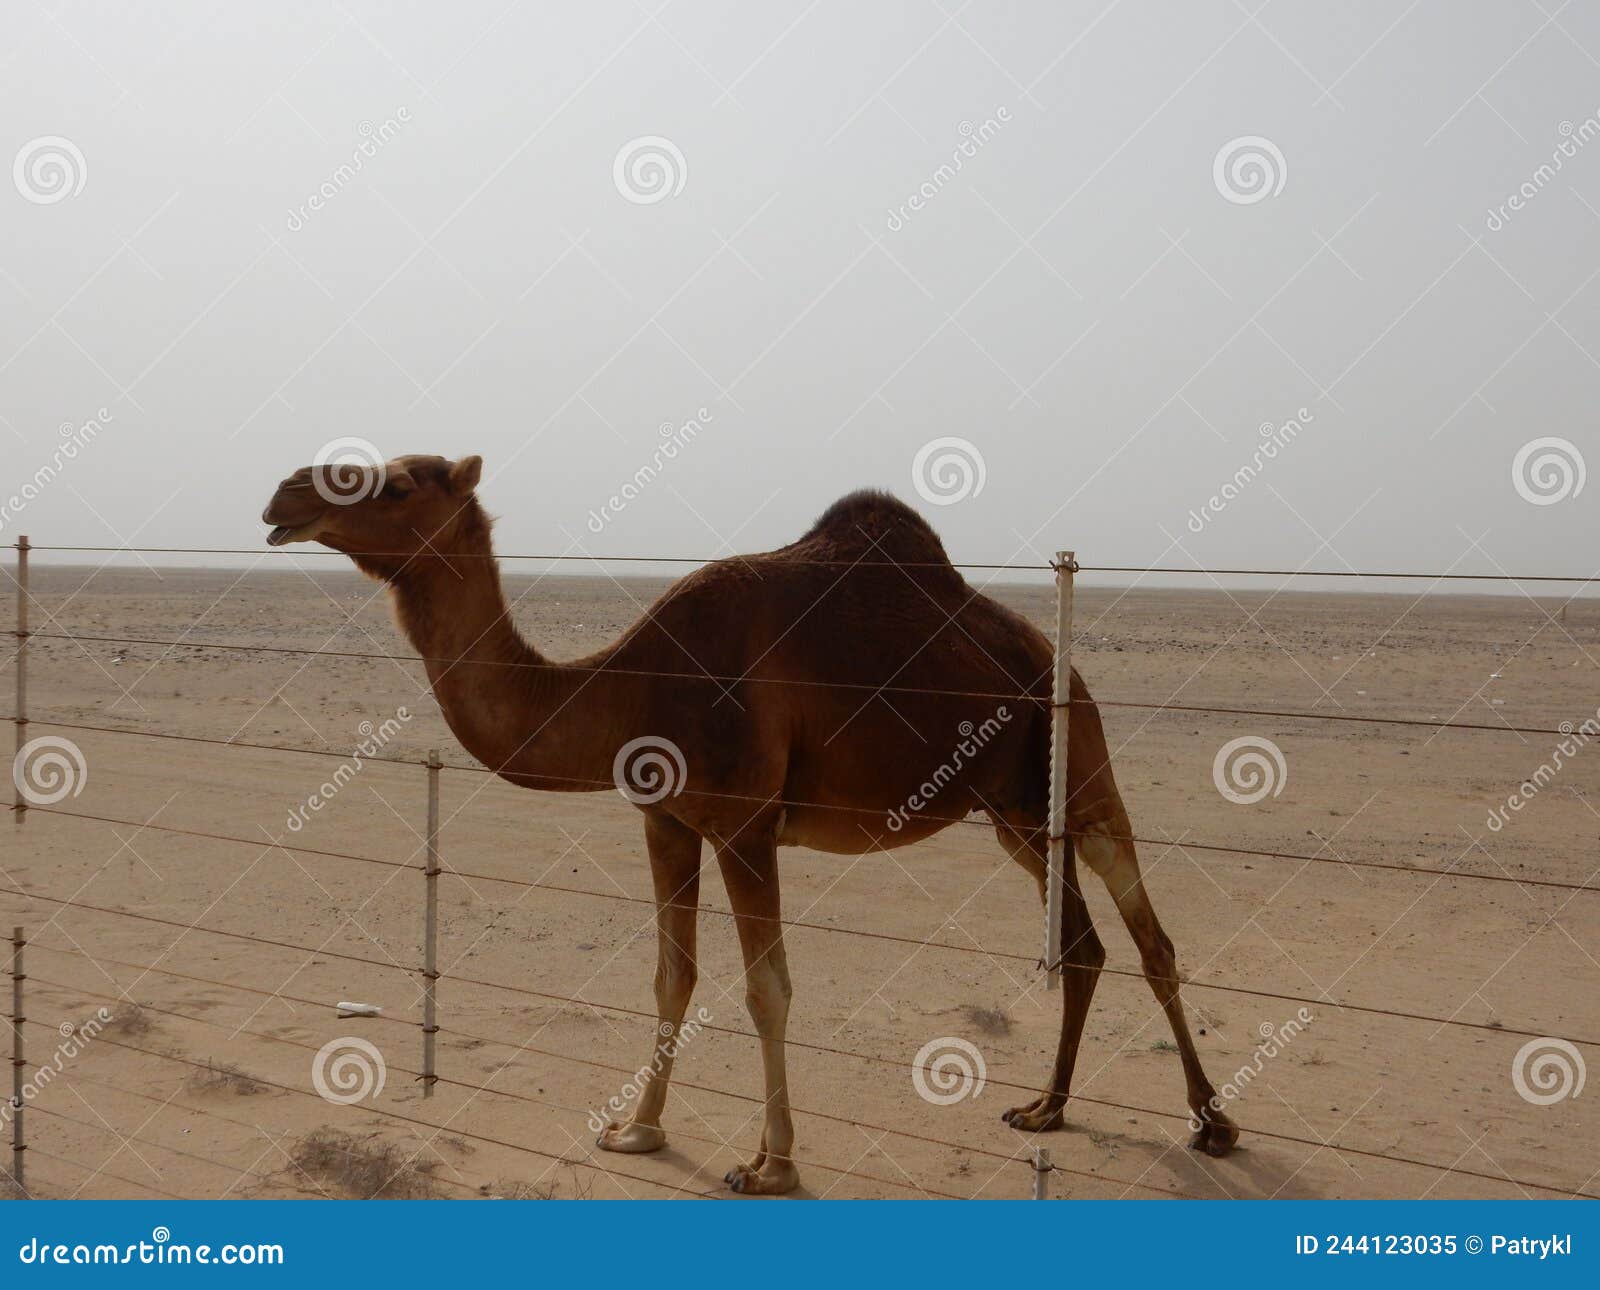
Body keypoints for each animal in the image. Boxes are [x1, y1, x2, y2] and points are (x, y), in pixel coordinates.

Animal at [261, 453, 1239, 1194]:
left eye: (393, 485)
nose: (283, 497)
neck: (628, 692)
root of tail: (1050, 661)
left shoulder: (743, 823)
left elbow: (767, 988)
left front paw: (769, 1164)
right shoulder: (664, 821)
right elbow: (672, 976)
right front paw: (636, 1129)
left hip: (1074, 771)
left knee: (1146, 933)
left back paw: (1212, 1123)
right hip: (1012, 815)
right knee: (1085, 942)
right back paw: (1048, 1107)